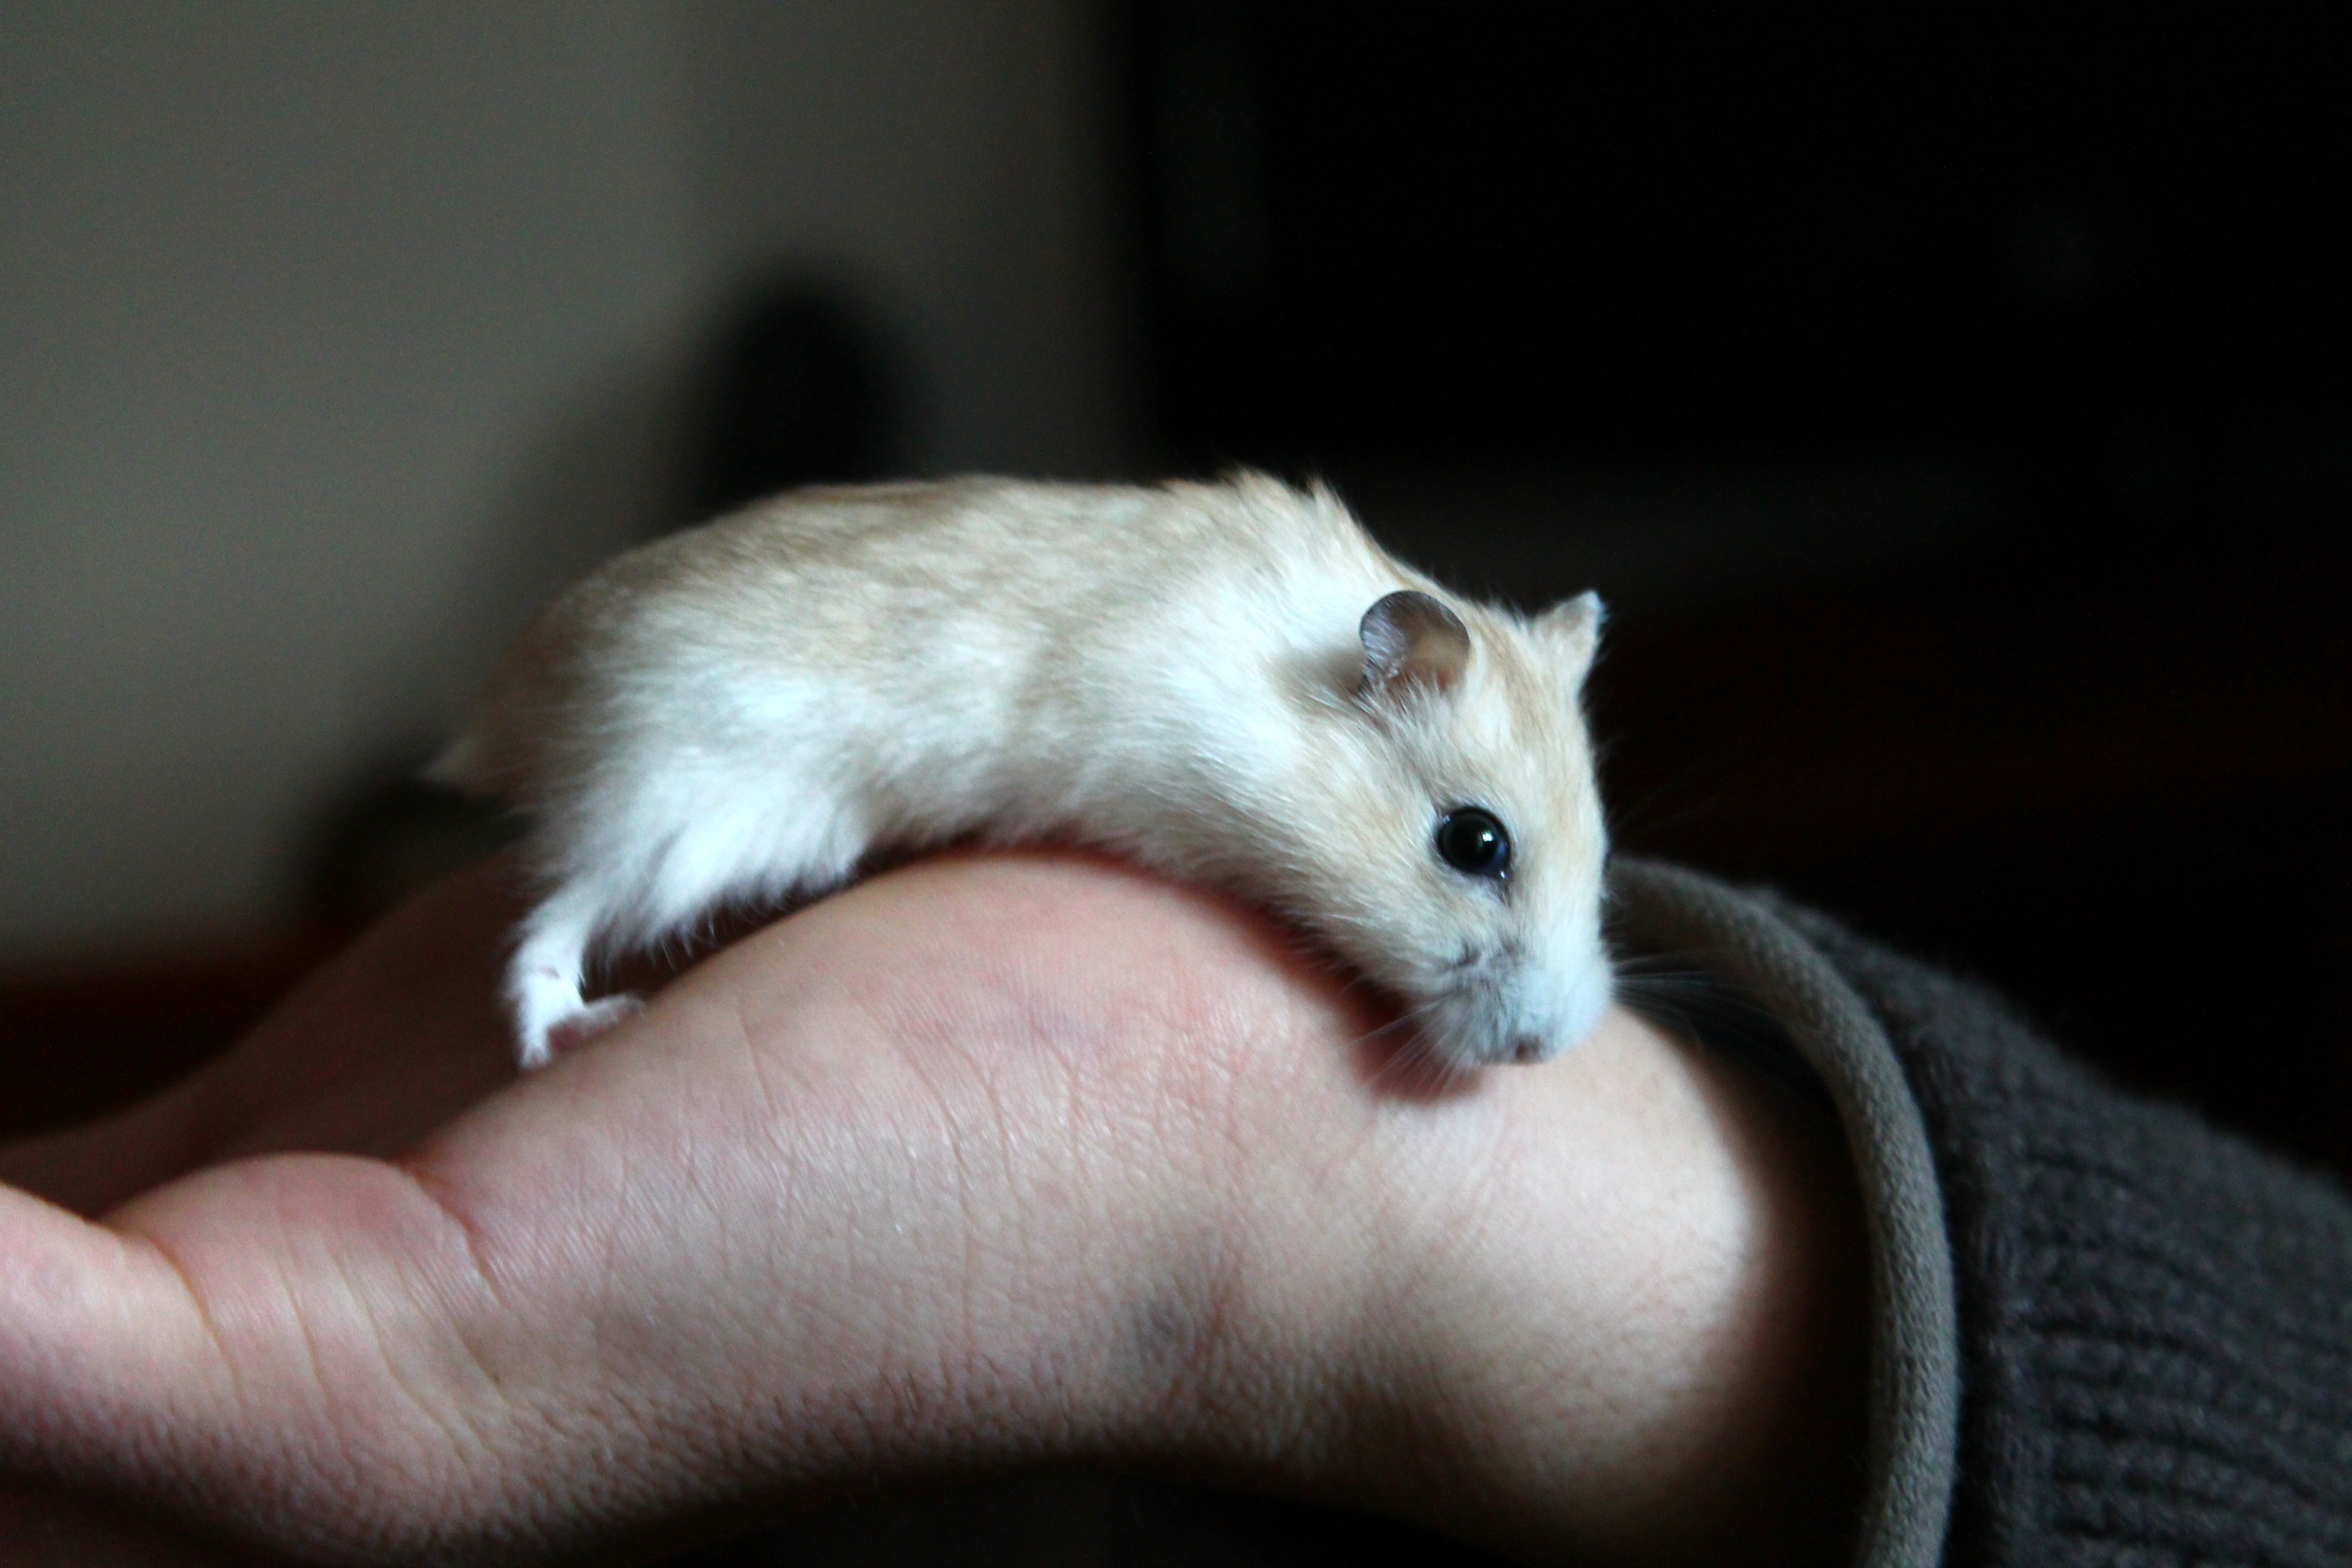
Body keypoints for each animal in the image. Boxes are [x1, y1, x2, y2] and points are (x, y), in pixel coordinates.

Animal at [432, 473, 1613, 1071]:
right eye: (1474, 842)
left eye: (1601, 862)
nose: (1539, 1052)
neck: (1276, 683)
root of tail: (507, 703)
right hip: (682, 801)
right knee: (553, 920)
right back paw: (568, 1028)